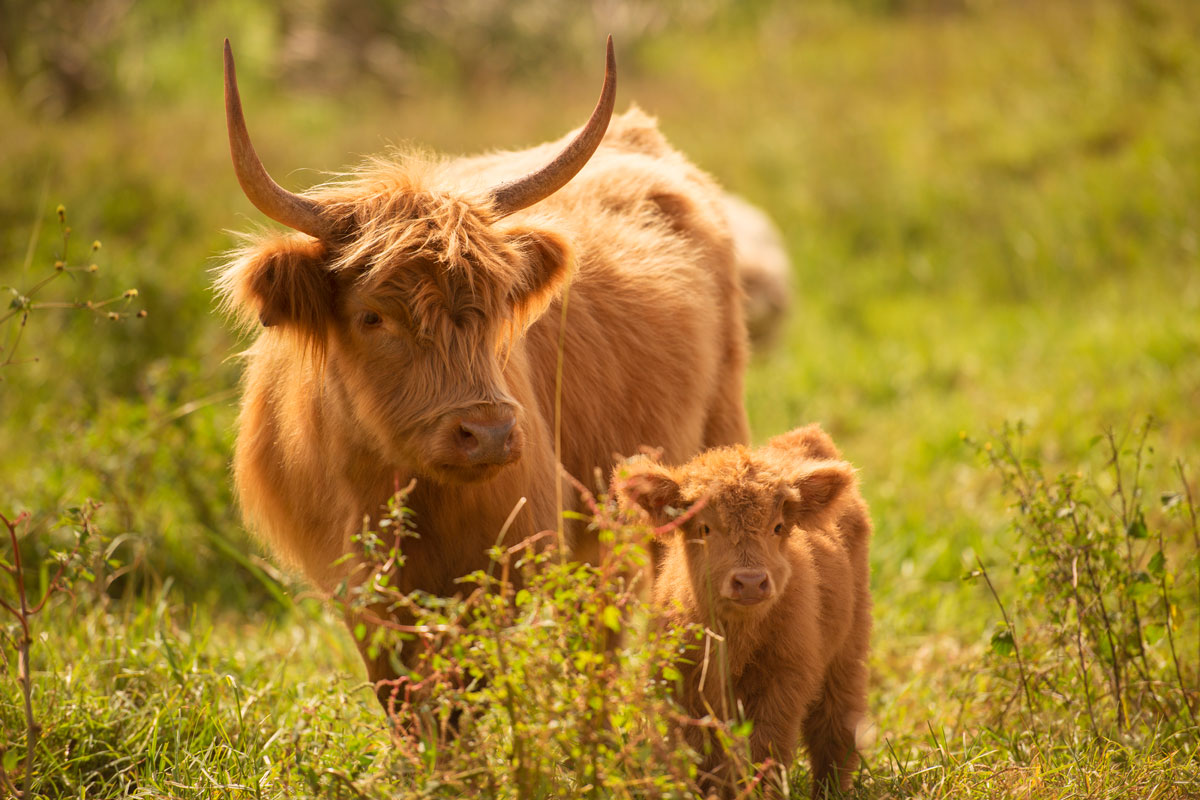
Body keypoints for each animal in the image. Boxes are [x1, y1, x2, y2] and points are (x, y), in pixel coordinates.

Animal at [215, 37, 750, 695]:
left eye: (497, 307)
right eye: (371, 316)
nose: (489, 433)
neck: (387, 484)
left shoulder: (497, 568)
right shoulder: (357, 590)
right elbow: (405, 694)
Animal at [618, 424, 872, 798]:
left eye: (778, 526)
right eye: (704, 527)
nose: (750, 582)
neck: (733, 639)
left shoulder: (783, 681)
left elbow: (764, 750)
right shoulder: (684, 686)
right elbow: (703, 759)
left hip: (847, 652)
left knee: (834, 728)